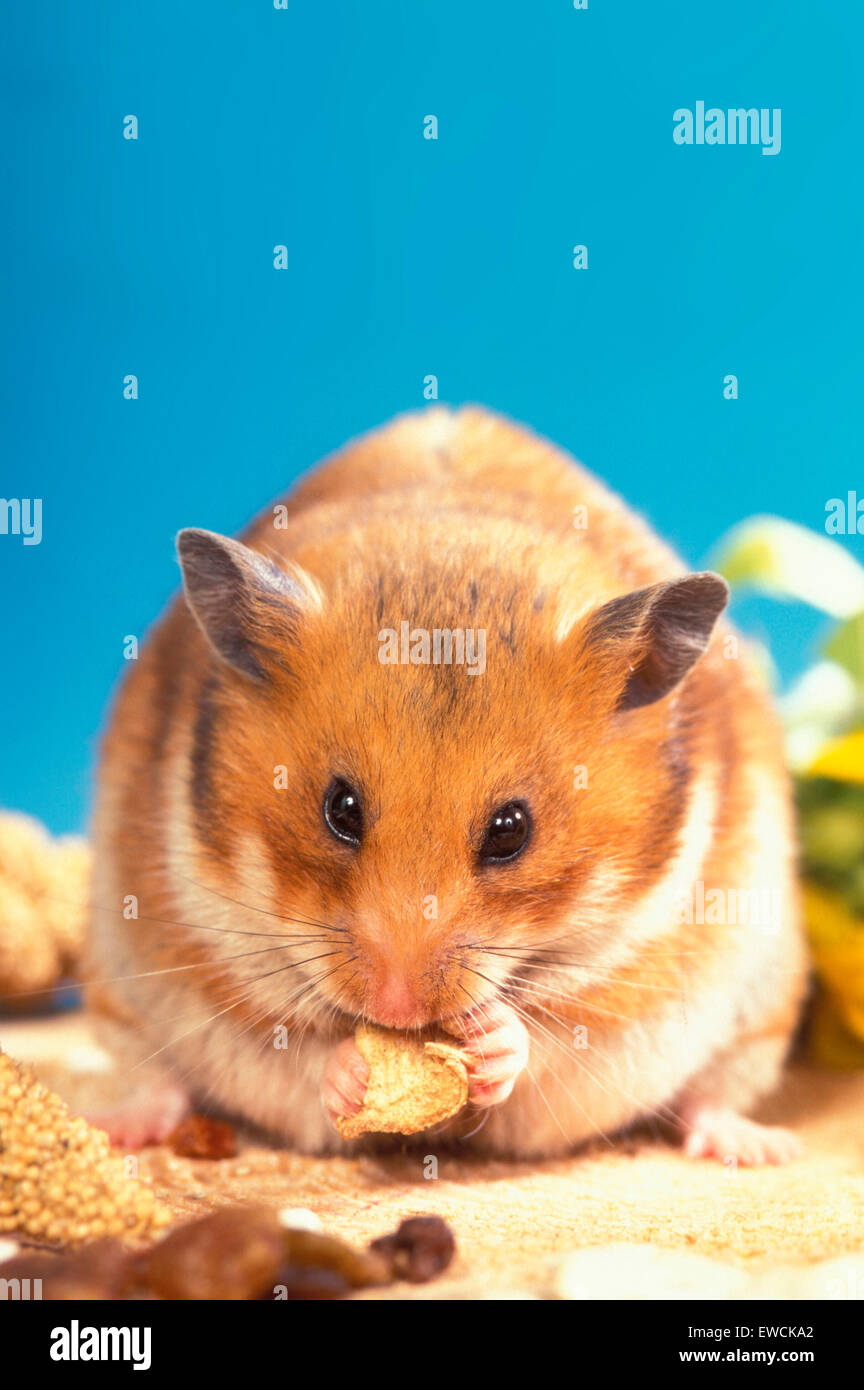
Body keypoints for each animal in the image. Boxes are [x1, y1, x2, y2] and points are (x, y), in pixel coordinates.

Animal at [86, 407, 808, 1162]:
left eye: (511, 831)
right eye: (339, 809)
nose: (395, 1008)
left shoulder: (632, 982)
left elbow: (548, 1035)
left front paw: (492, 1045)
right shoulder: (224, 965)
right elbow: (301, 1047)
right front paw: (355, 1072)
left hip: (763, 1008)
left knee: (712, 1092)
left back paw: (757, 1148)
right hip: (117, 989)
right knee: (156, 1078)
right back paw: (117, 1128)